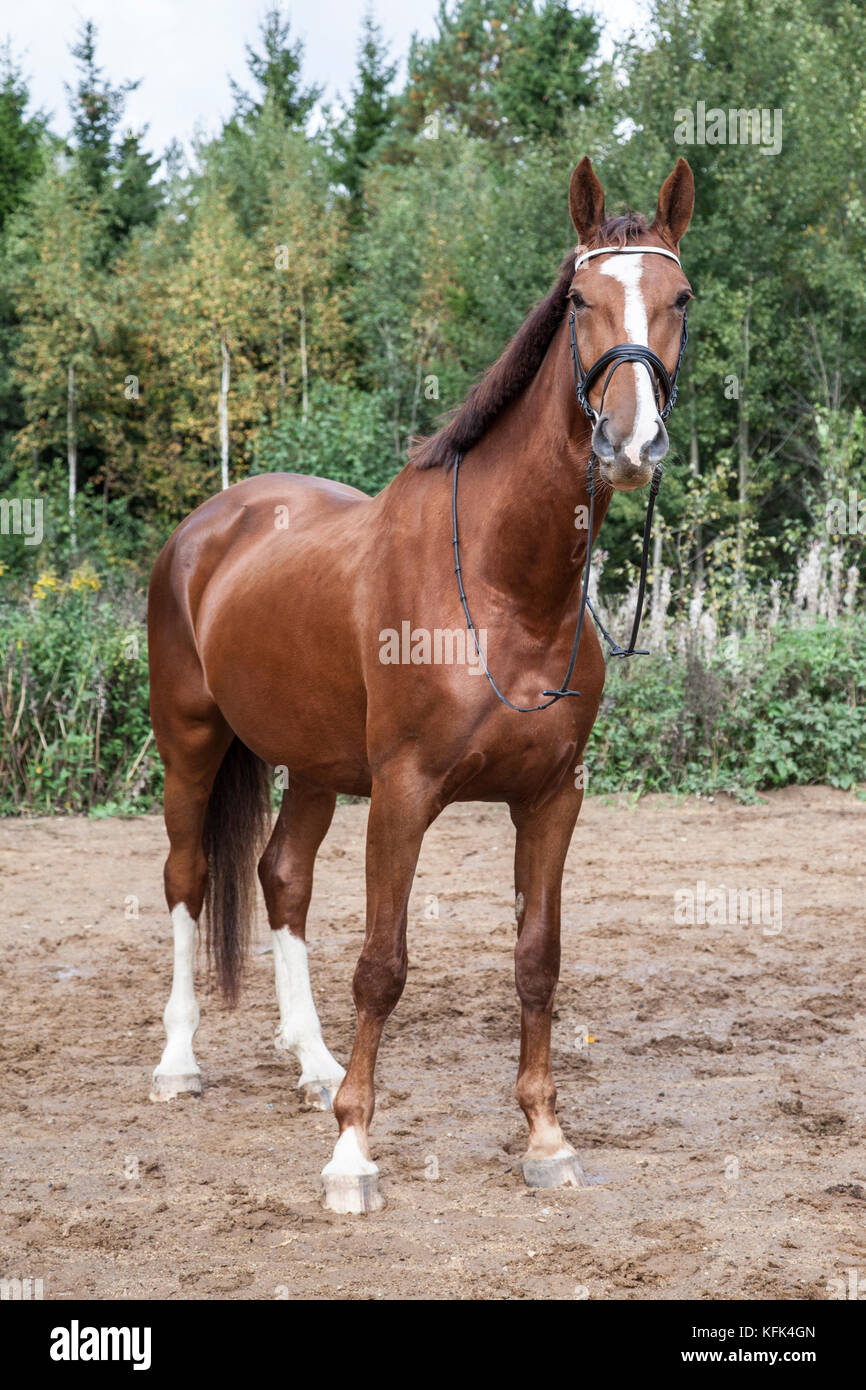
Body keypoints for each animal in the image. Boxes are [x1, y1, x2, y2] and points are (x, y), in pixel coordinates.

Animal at [147, 156, 695, 1214]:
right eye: (579, 301)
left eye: (680, 298)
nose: (630, 443)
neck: (503, 586)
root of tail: (206, 528)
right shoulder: (403, 794)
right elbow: (383, 966)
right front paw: (353, 1154)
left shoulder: (551, 799)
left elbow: (537, 960)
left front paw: (546, 1137)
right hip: (190, 745)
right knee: (189, 880)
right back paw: (181, 1064)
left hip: (316, 768)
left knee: (281, 878)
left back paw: (313, 1064)